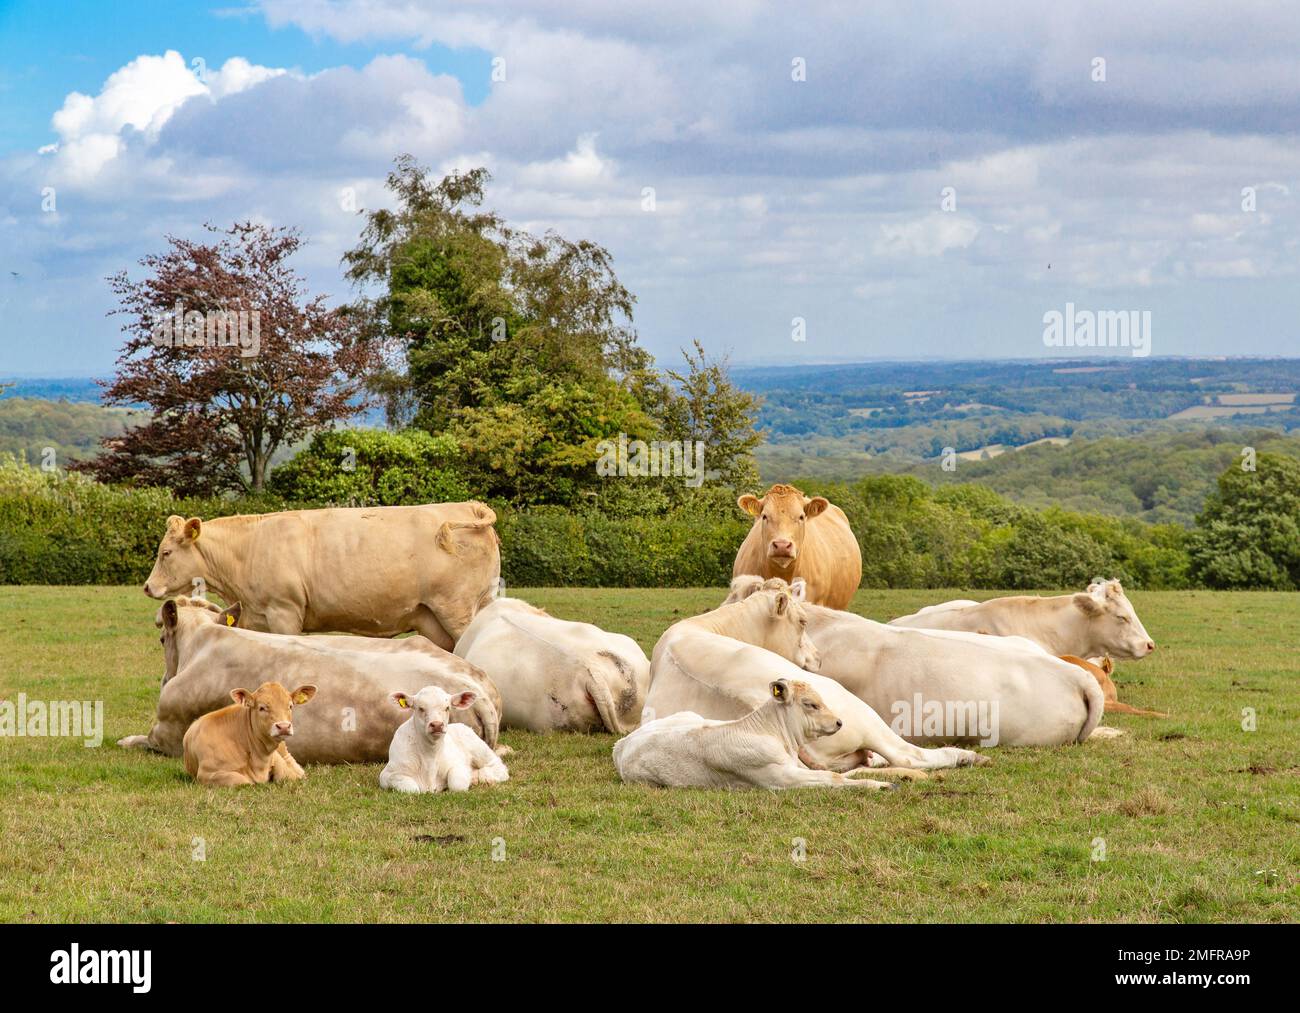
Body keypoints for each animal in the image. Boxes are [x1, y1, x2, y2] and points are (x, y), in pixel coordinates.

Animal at [117, 596, 501, 763]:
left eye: (161, 639)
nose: (164, 678)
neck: (202, 642)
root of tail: (476, 690)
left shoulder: (166, 733)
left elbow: (136, 740)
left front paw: (124, 740)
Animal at [142, 502, 501, 649]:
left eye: (166, 553)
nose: (147, 587)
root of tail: (469, 506)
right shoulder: (255, 617)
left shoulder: (284, 612)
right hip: (435, 616)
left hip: (457, 608)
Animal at [182, 681, 317, 787]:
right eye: (262, 708)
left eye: (290, 706)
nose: (283, 727)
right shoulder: (207, 774)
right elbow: (243, 781)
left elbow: (287, 775)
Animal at [380, 686, 510, 793]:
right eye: (420, 708)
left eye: (447, 708)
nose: (437, 725)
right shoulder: (387, 774)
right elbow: (412, 789)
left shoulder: (457, 764)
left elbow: (457, 784)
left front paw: (471, 777)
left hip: (480, 749)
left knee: (499, 767)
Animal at [613, 678, 894, 790]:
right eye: (810, 704)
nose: (838, 722)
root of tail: (623, 742)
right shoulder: (780, 778)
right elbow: (832, 779)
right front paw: (880, 784)